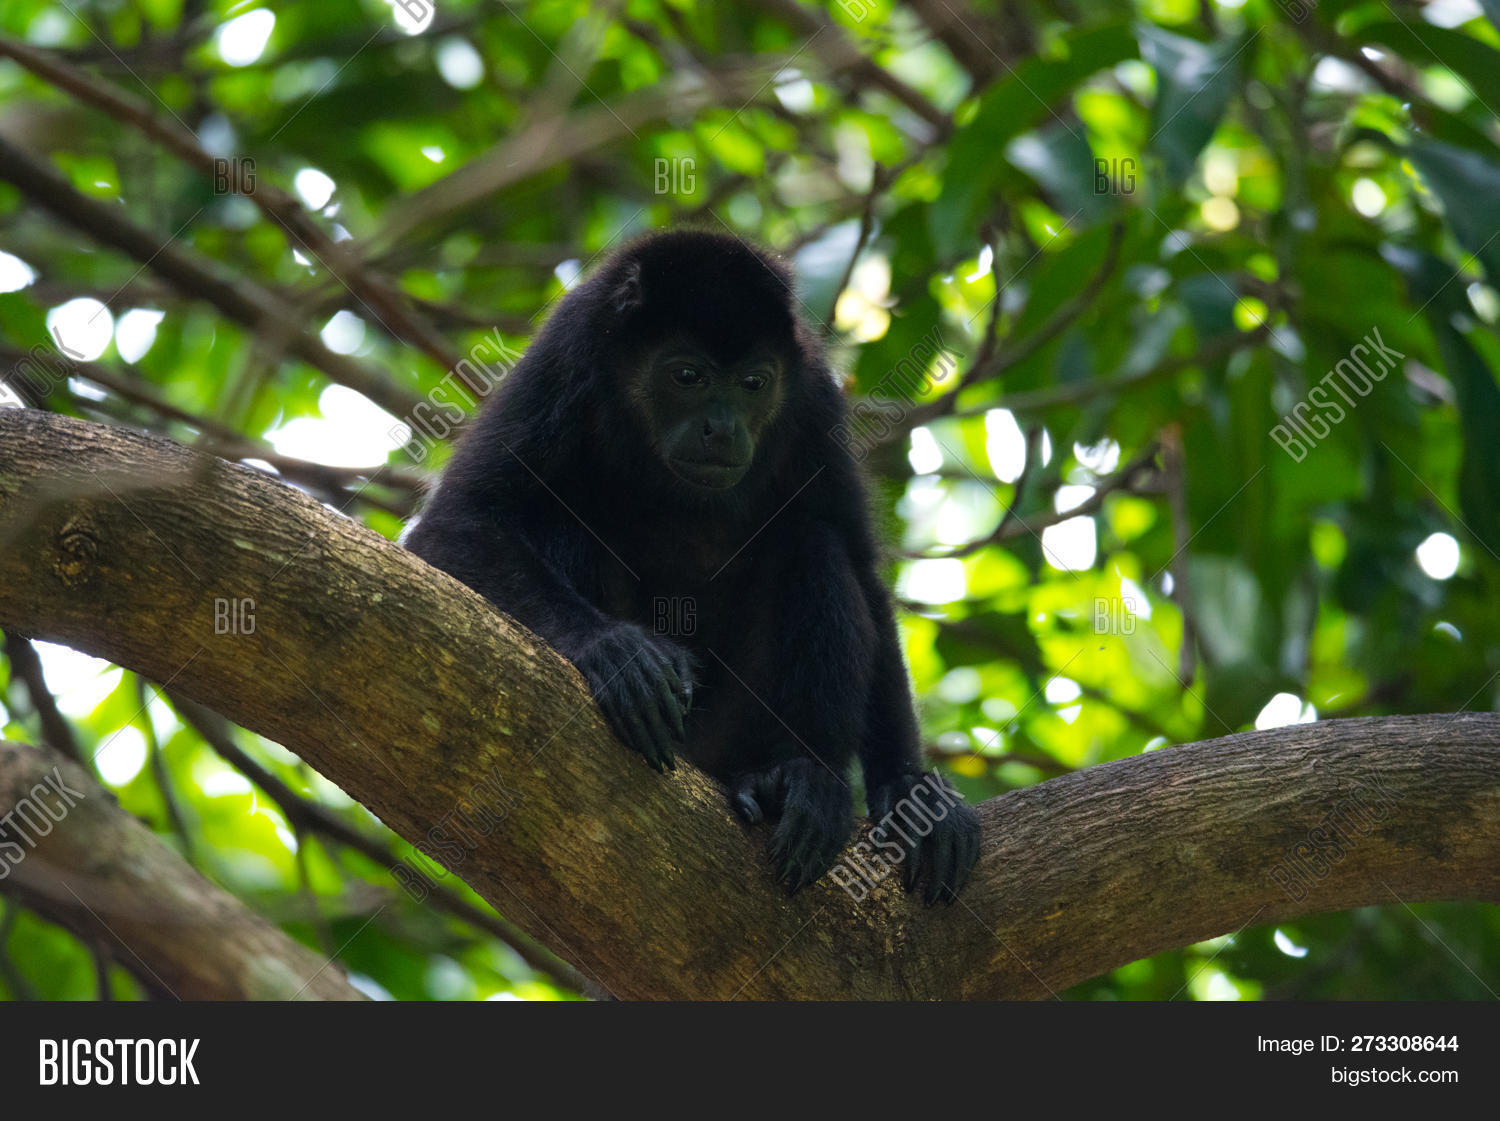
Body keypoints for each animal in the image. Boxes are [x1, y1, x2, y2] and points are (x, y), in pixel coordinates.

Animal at [405, 230, 981, 902]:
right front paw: (614, 649)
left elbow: (860, 565)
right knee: (554, 519)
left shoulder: (813, 393)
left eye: (755, 383)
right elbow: (462, 517)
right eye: (687, 375)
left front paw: (908, 789)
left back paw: (794, 779)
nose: (722, 429)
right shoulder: (567, 350)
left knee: (815, 543)